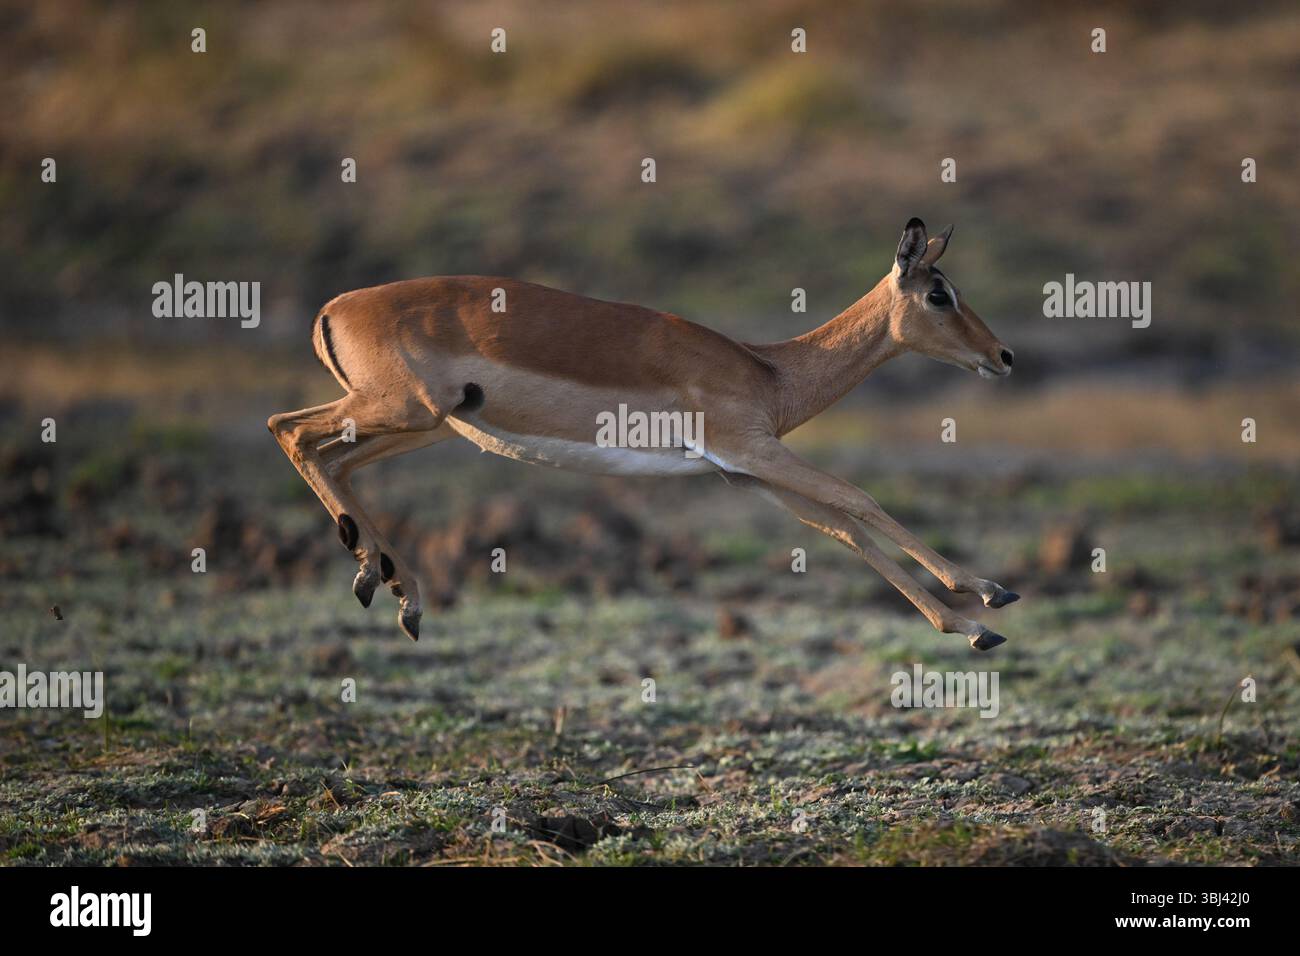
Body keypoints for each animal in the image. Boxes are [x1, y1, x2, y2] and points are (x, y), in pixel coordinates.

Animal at [269, 218, 1020, 650]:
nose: (1005, 356)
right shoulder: (753, 448)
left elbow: (844, 530)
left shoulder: (747, 474)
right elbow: (858, 499)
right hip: (400, 409)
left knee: (333, 460)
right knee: (289, 429)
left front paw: (969, 626)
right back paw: (388, 585)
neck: (769, 370)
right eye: (939, 294)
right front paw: (988, 597)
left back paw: (393, 590)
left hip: (426, 424)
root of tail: (331, 307)